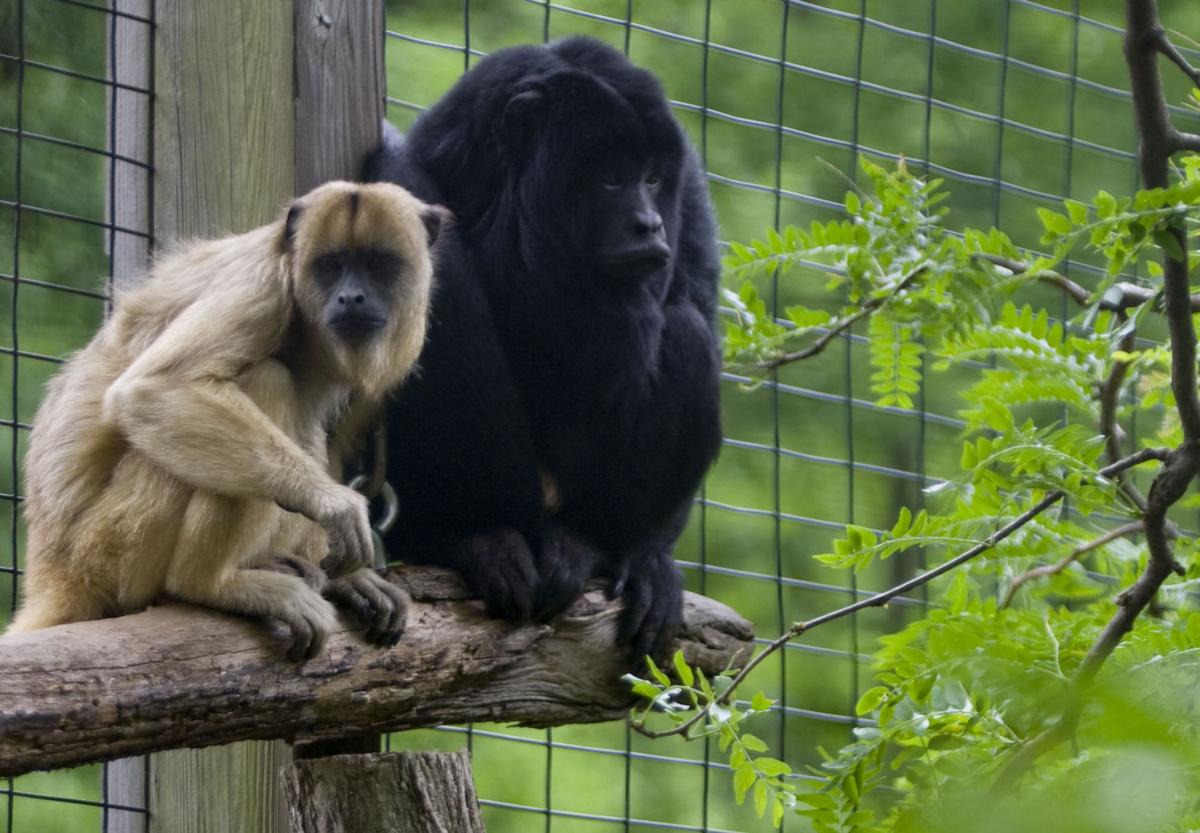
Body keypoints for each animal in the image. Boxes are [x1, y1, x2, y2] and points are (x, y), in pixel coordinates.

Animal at [9, 181, 446, 661]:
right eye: (331, 266)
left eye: (377, 264)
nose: (351, 297)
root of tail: (54, 575)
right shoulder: (260, 285)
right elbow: (151, 389)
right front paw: (333, 503)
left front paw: (345, 578)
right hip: (110, 547)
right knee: (267, 381)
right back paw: (211, 584)